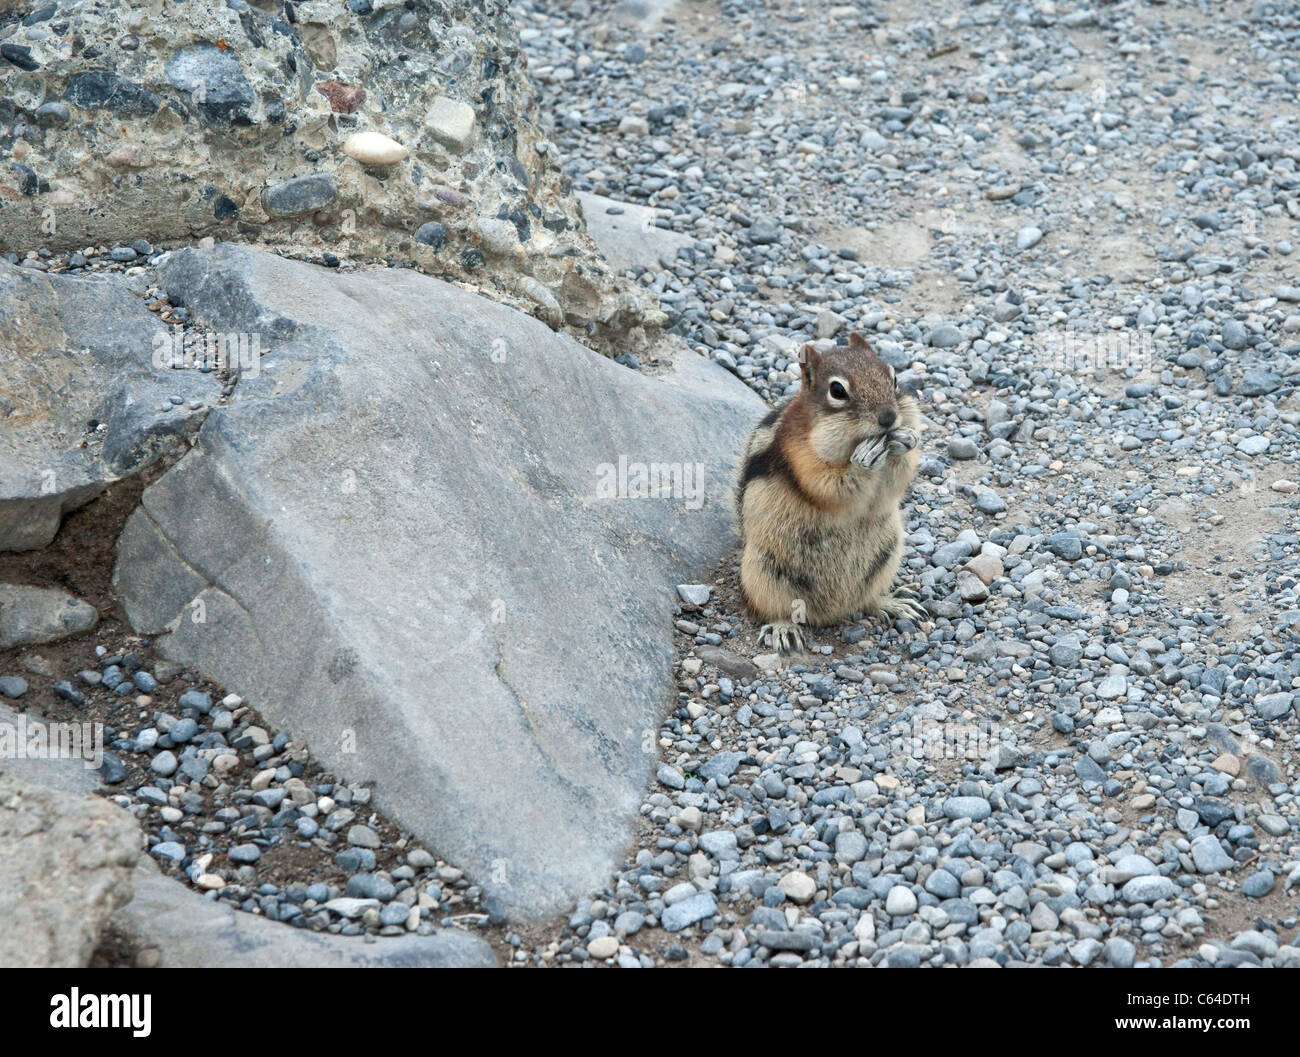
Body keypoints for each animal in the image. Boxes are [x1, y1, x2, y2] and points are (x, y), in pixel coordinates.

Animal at [736, 331, 925, 653]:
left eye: (894, 378)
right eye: (837, 390)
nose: (889, 417)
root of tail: (832, 612)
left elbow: (897, 478)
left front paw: (904, 442)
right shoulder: (800, 454)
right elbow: (827, 486)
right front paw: (864, 461)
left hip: (887, 556)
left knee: (865, 600)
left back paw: (892, 603)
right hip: (764, 571)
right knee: (776, 608)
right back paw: (783, 628)